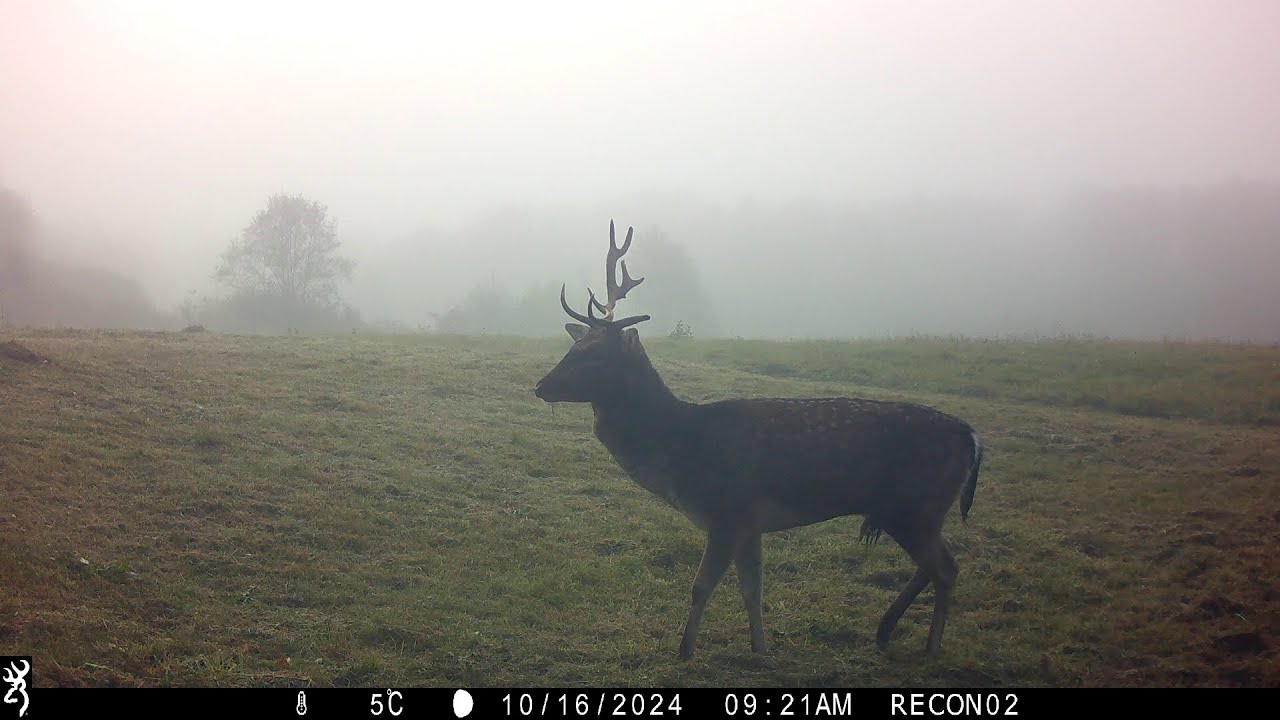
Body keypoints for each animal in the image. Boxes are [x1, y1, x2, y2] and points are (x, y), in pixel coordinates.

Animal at [533, 220, 984, 659]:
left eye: (595, 354)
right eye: (575, 344)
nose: (541, 386)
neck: (682, 451)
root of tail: (972, 437)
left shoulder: (728, 512)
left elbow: (701, 586)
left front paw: (684, 652)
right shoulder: (750, 523)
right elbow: (753, 588)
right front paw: (759, 648)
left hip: (918, 505)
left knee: (947, 568)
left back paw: (930, 647)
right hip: (909, 511)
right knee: (935, 566)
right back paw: (885, 631)